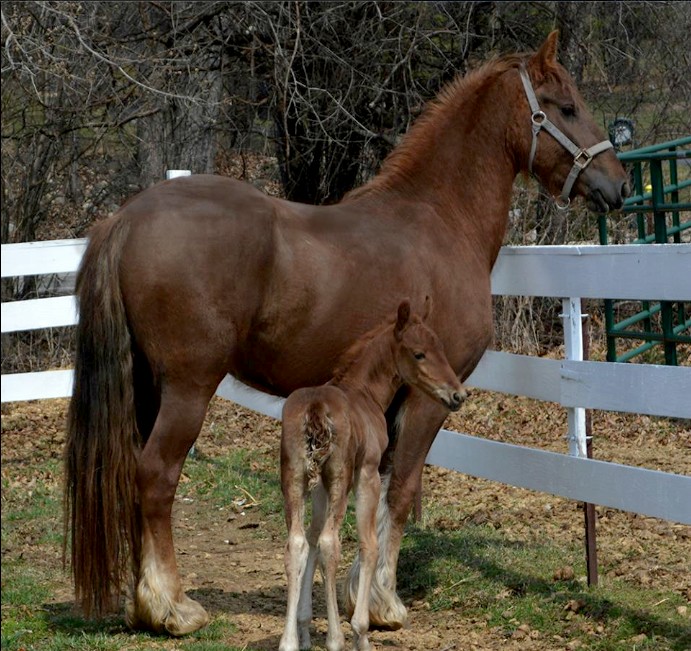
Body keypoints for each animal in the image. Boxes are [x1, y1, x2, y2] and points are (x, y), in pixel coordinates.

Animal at [279, 299, 464, 651]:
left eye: (441, 349)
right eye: (419, 353)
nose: (458, 395)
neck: (363, 391)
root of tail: (315, 409)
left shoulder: (320, 485)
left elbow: (311, 538)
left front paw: (305, 629)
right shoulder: (367, 474)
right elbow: (368, 545)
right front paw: (361, 632)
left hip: (294, 476)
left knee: (296, 541)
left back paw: (288, 642)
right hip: (340, 478)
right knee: (331, 542)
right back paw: (336, 639)